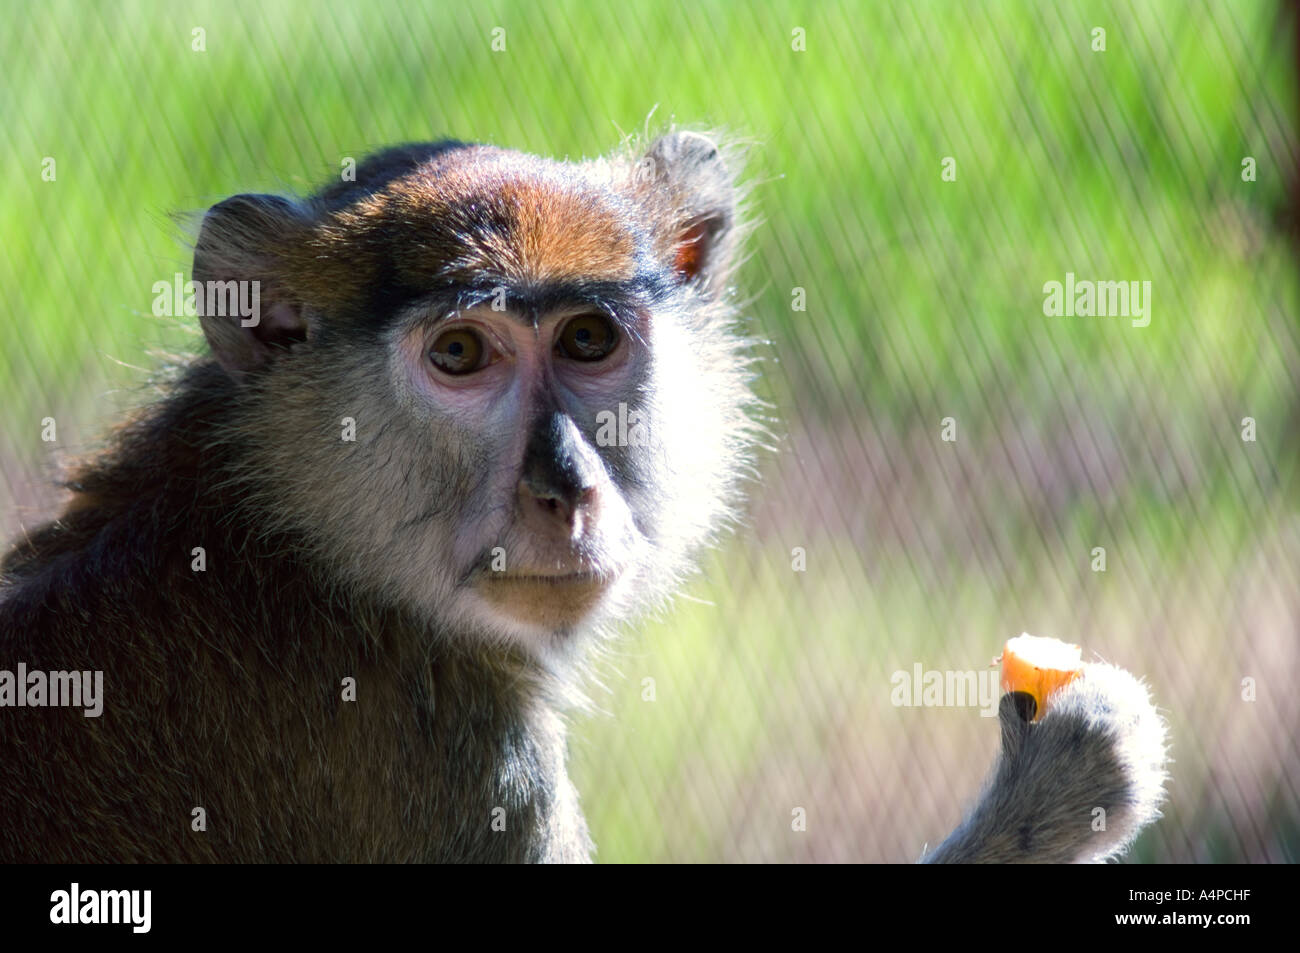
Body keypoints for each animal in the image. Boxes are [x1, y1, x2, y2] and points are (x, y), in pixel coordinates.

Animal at [0, 132, 1166, 863]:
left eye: (590, 338)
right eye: (459, 353)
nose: (564, 488)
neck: (296, 534)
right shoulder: (448, 746)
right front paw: (1062, 787)